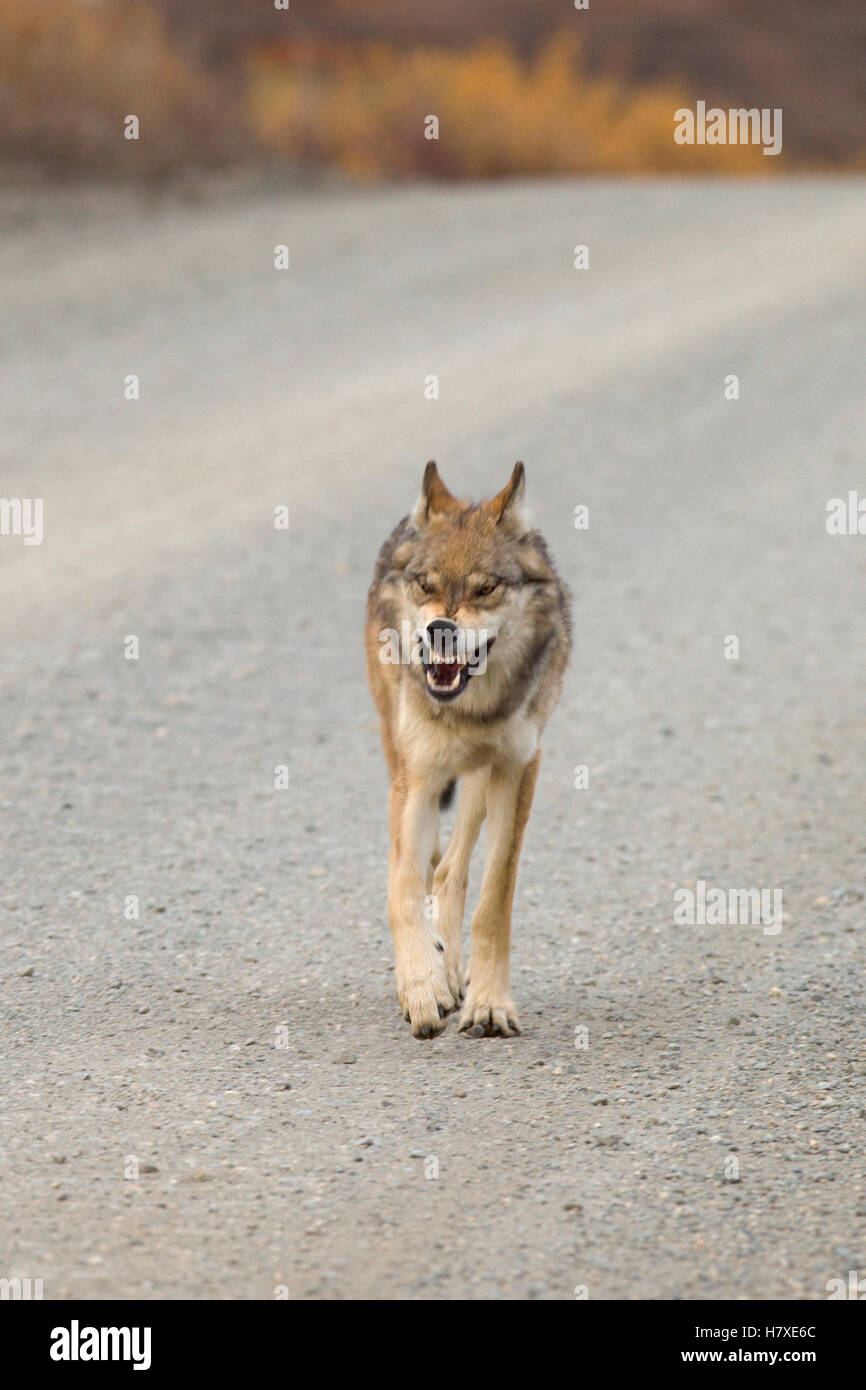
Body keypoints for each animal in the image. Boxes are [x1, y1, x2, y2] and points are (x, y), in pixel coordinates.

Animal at [365, 461, 571, 1039]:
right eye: (426, 585)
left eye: (485, 589)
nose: (441, 629)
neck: (466, 709)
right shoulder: (415, 781)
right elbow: (401, 890)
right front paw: (421, 987)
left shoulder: (518, 769)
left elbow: (493, 901)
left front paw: (489, 1003)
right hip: (402, 757)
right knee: (433, 871)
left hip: (481, 779)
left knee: (450, 871)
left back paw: (458, 973)